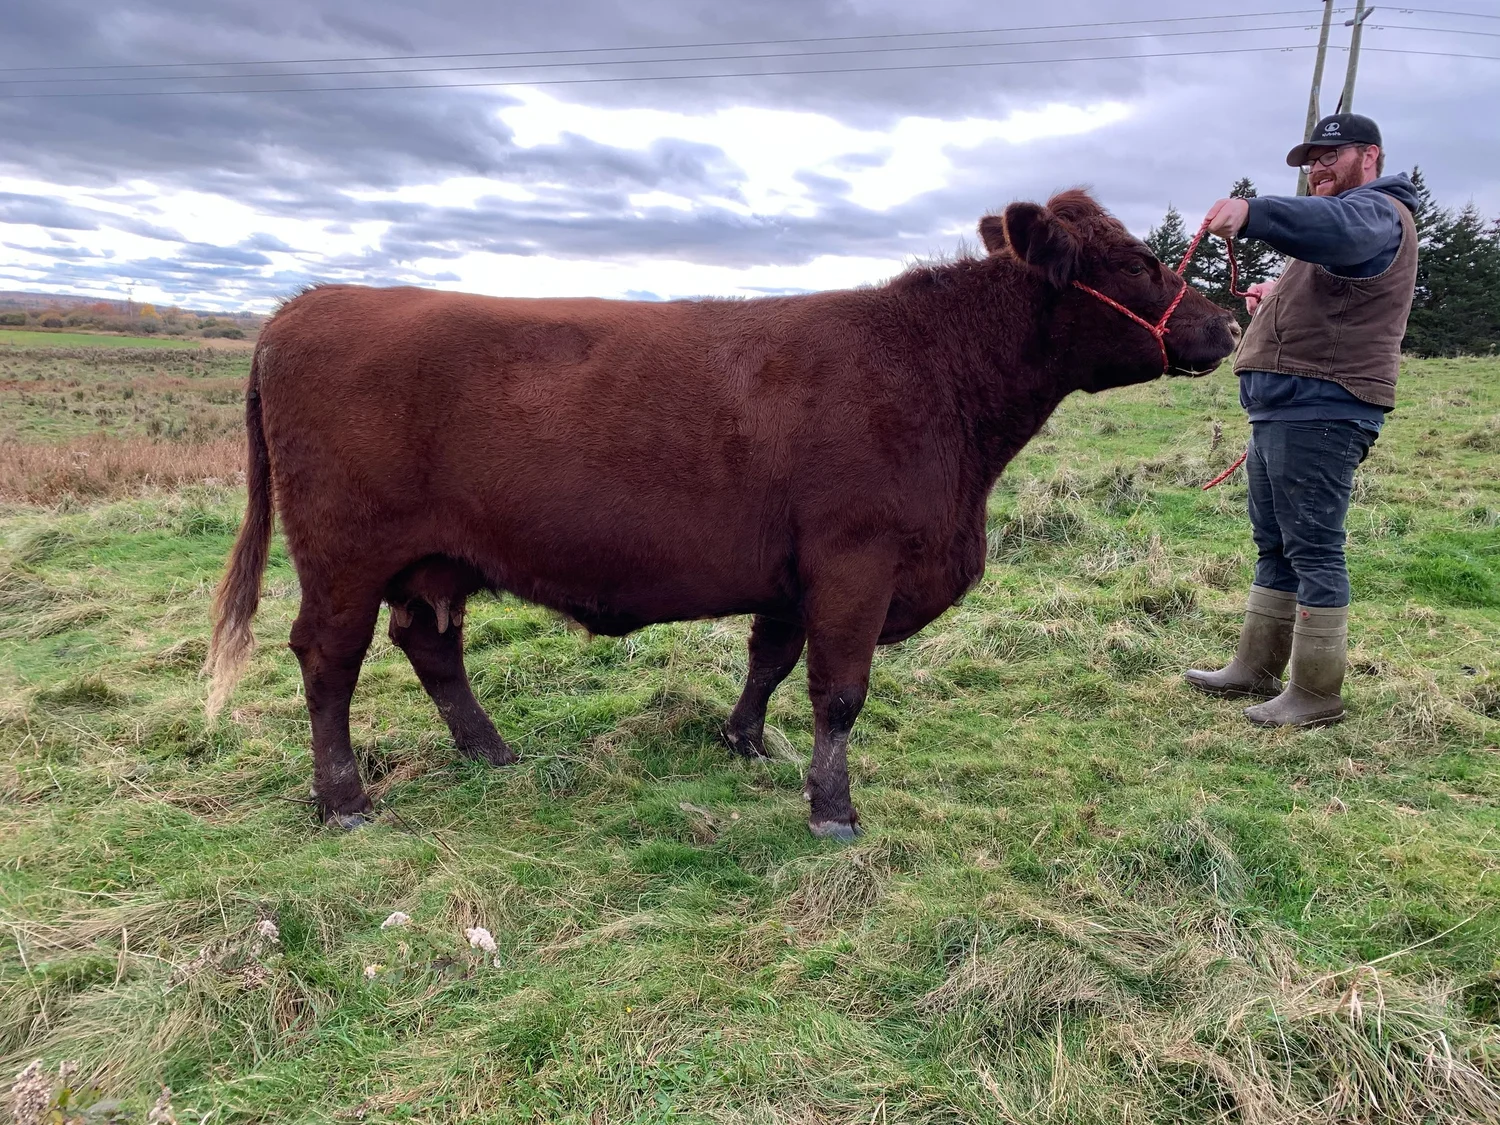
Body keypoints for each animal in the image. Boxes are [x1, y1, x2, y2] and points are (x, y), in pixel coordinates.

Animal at [207, 189, 1239, 839]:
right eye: (1140, 261)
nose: (1226, 324)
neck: (937, 377)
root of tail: (304, 306)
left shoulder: (797, 570)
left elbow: (771, 658)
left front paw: (745, 740)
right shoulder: (857, 560)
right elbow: (839, 690)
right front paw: (832, 809)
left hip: (432, 561)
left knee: (430, 645)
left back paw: (493, 751)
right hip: (343, 554)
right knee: (329, 661)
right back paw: (344, 799)